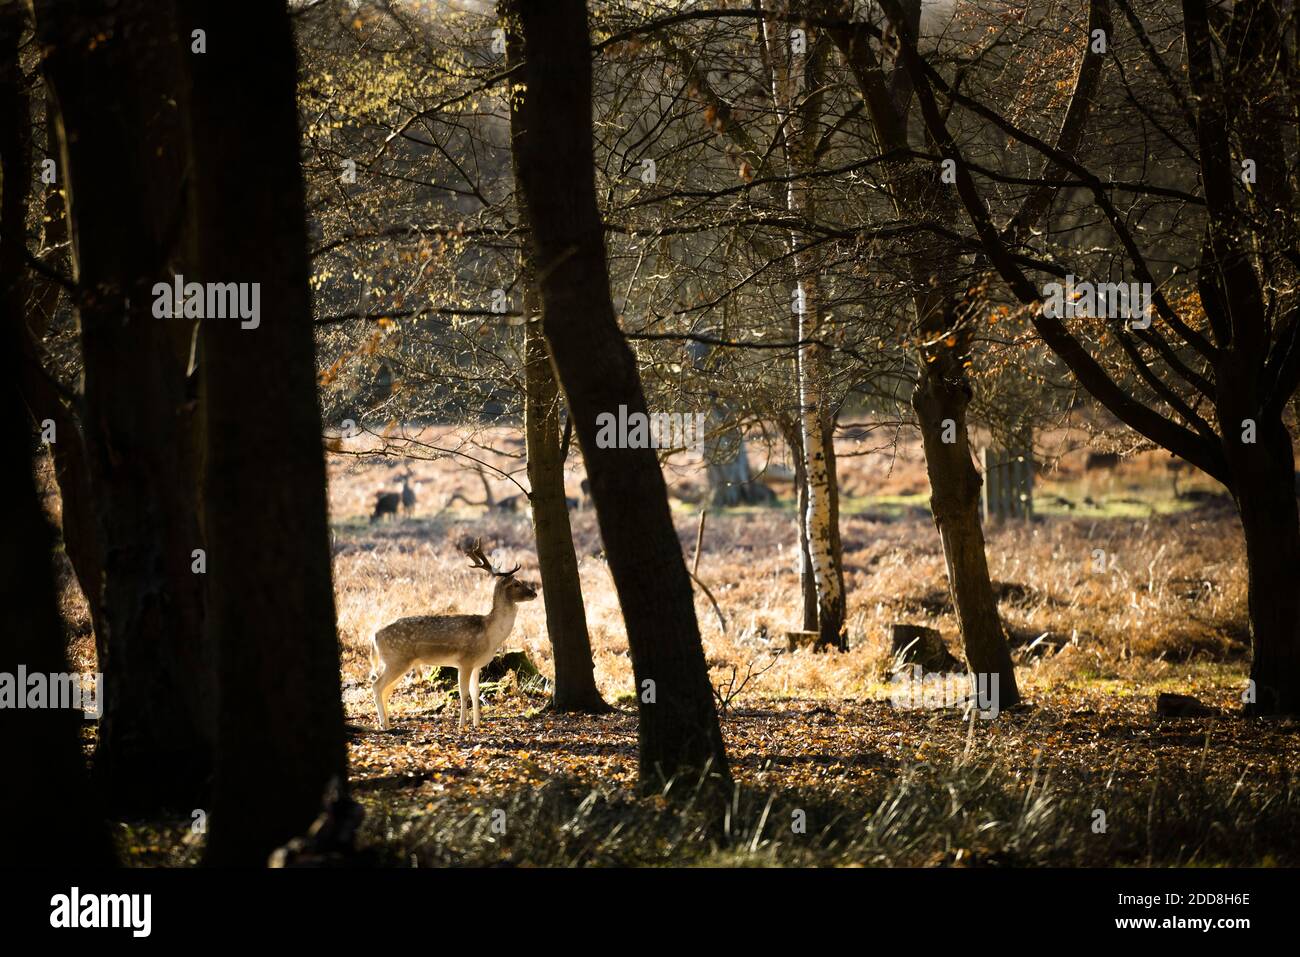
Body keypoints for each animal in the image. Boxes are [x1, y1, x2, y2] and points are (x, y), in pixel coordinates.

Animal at [368, 539, 537, 732]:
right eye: (516, 584)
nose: (534, 593)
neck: (489, 634)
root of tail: (374, 636)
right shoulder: (465, 661)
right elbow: (464, 693)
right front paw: (462, 724)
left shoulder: (477, 664)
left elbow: (475, 692)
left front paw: (477, 723)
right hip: (396, 660)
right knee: (376, 686)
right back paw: (383, 723)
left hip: (400, 663)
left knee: (386, 690)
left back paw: (388, 723)